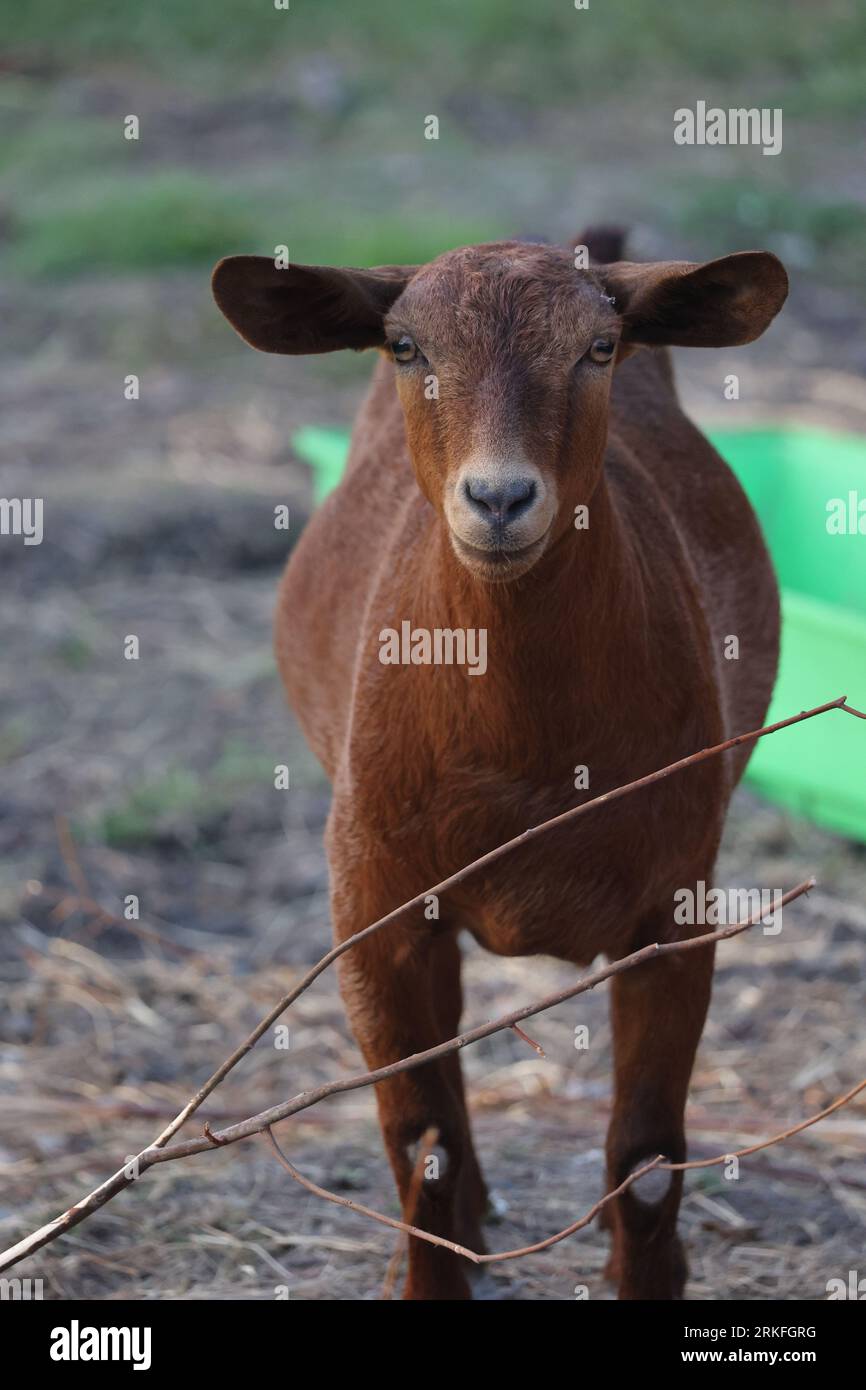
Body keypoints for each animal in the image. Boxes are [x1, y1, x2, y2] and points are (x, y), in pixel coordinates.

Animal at [212, 227, 788, 1299]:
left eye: (600, 349)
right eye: (405, 347)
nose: (500, 497)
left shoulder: (677, 906)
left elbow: (648, 1158)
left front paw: (652, 1276)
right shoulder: (373, 903)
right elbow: (418, 1141)